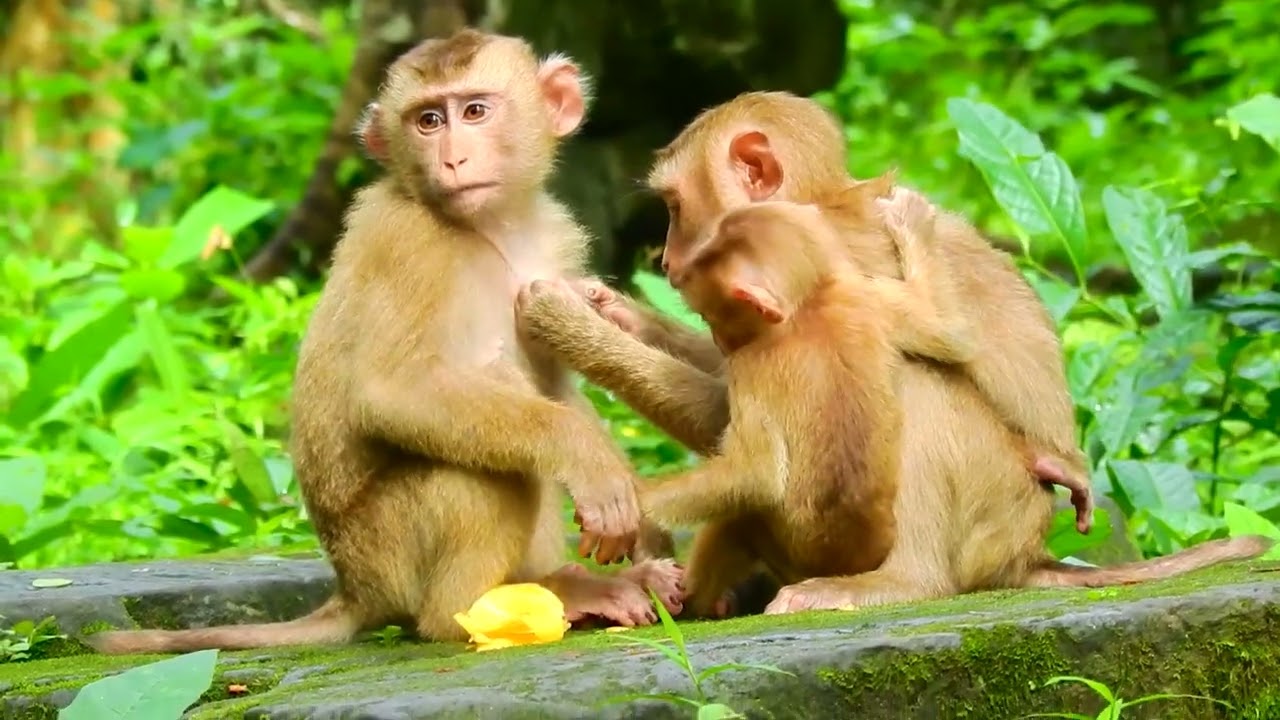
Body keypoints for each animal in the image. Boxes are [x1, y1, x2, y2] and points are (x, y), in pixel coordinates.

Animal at [85, 29, 683, 657]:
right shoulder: (409, 243)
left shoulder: (556, 242)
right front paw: (591, 460)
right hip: (390, 545)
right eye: (427, 121)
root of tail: (355, 589)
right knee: (488, 469)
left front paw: (641, 512)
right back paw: (488, 610)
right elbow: (392, 392)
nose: (452, 158)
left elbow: (556, 385)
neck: (491, 228)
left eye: (474, 111)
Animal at [514, 90, 1273, 615]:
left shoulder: (842, 272)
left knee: (915, 383)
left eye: (674, 208)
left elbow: (752, 430)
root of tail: (1029, 555)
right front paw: (612, 309)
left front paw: (564, 320)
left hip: (984, 520)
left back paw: (903, 579)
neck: (818, 210)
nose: (668, 260)